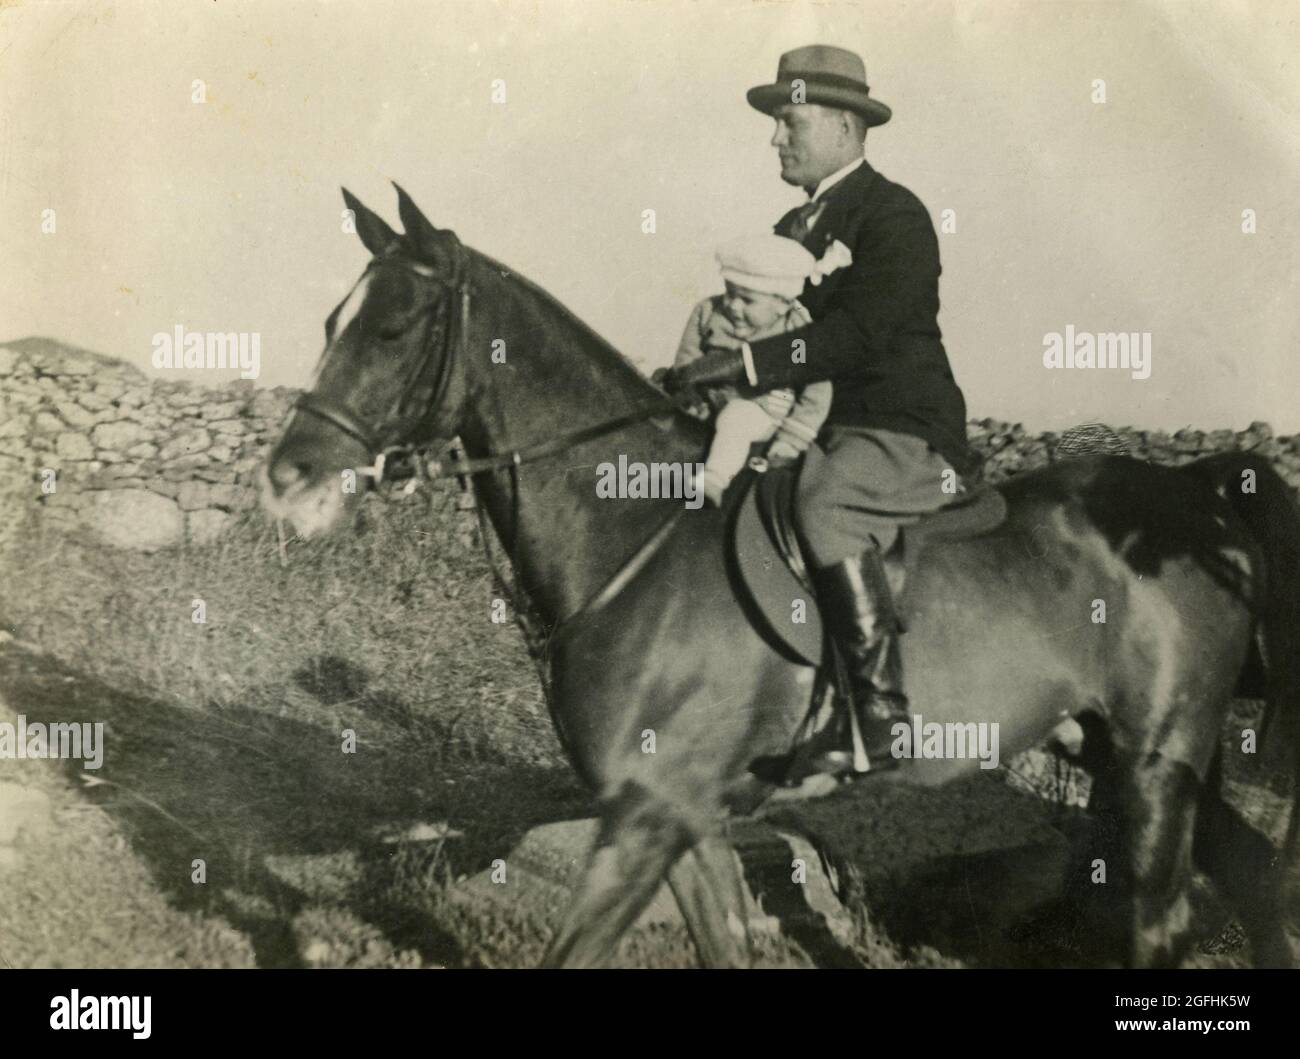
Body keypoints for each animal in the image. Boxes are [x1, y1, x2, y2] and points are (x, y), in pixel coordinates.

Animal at [262, 185, 1300, 968]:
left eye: (394, 328)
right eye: (332, 319)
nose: (289, 477)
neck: (633, 531)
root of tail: (1198, 491)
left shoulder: (649, 811)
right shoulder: (687, 817)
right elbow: (725, 943)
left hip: (1158, 759)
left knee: (1162, 921)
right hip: (1120, 750)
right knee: (1254, 877)